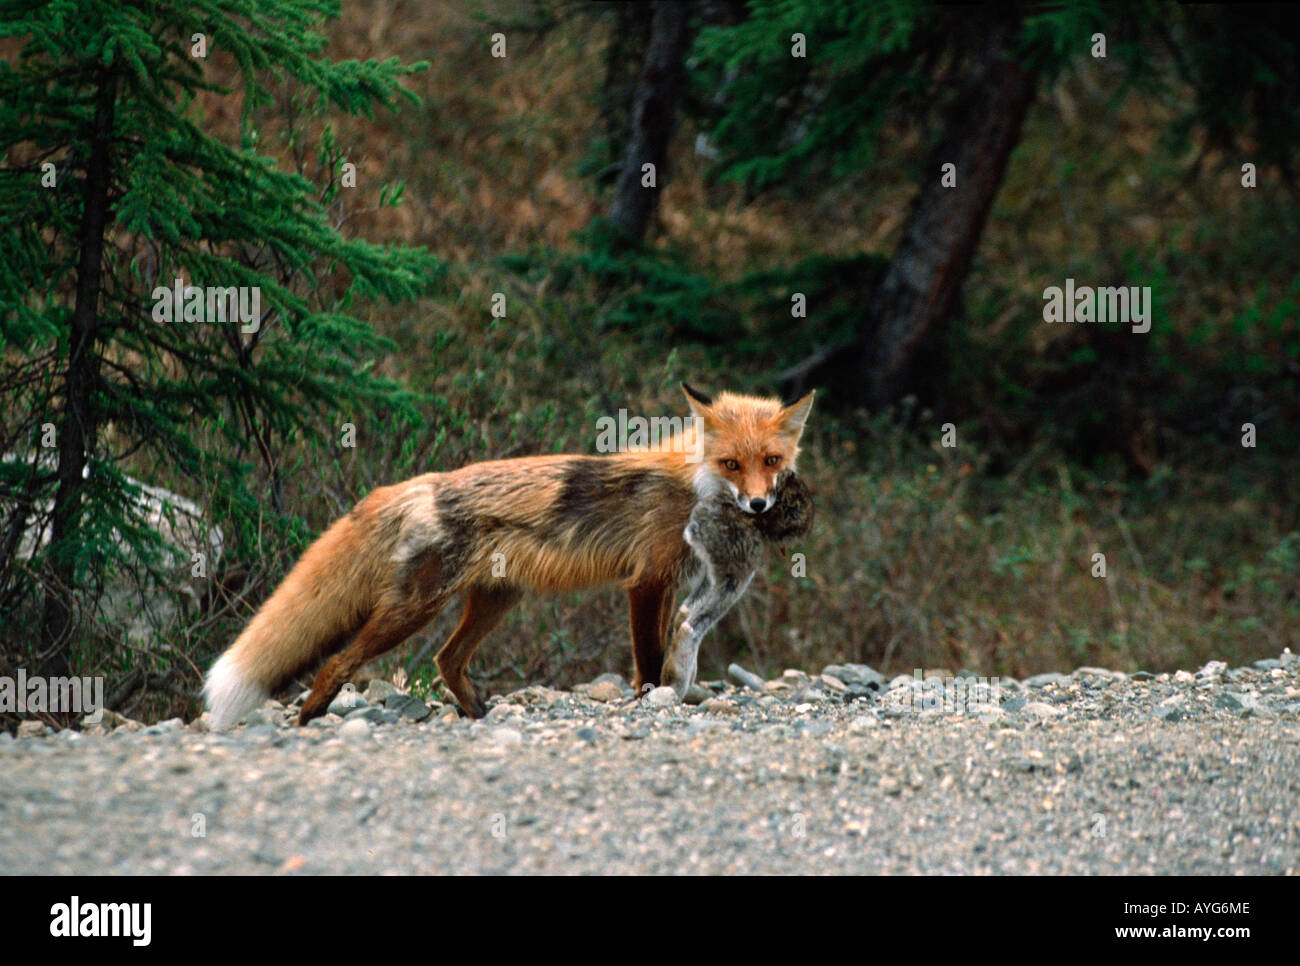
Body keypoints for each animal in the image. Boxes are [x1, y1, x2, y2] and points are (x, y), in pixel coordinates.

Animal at [660, 470, 814, 696]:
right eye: (793, 505)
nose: (807, 524)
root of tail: (695, 527)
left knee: (684, 613)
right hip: (734, 577)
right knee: (692, 626)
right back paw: (675, 684)